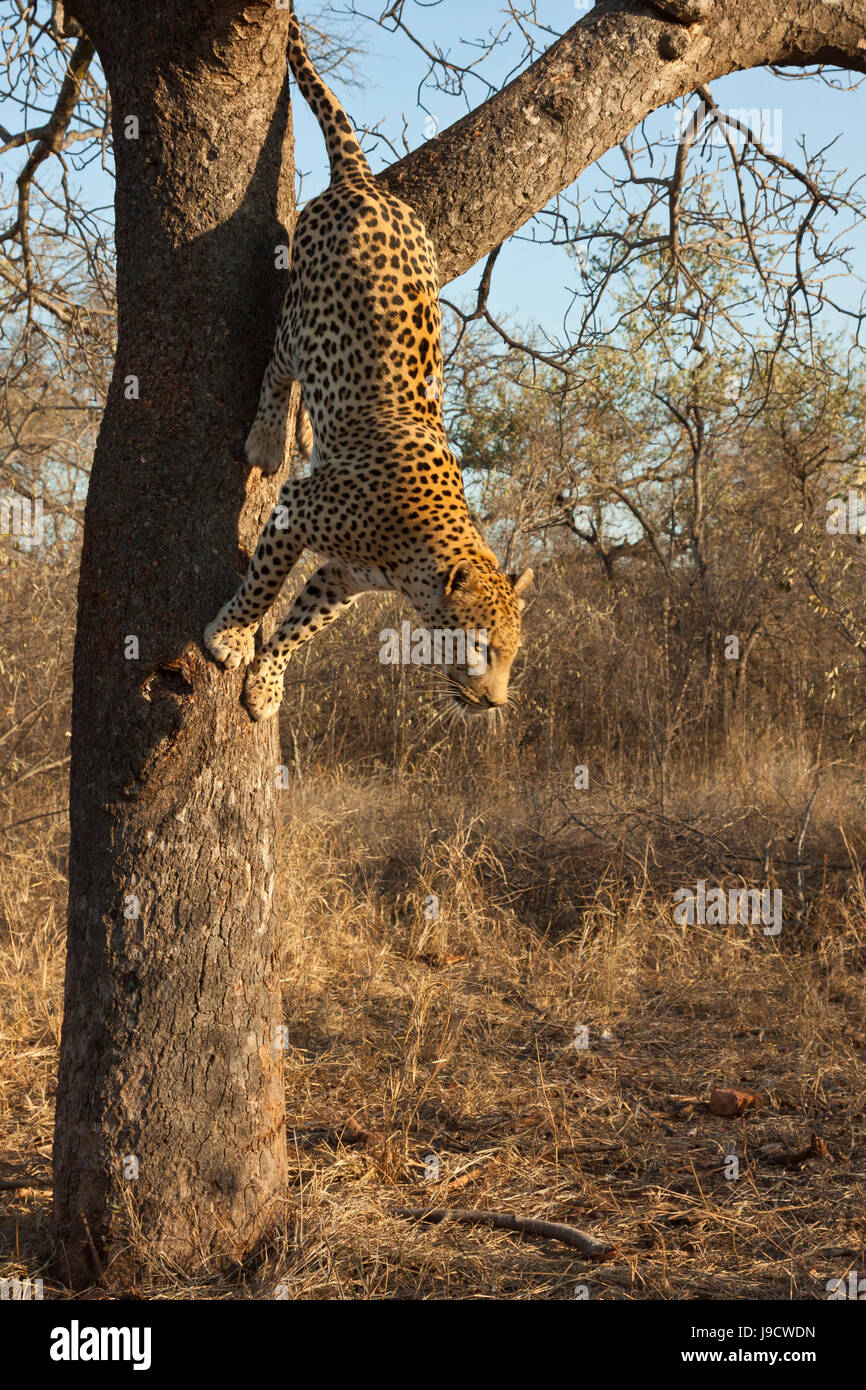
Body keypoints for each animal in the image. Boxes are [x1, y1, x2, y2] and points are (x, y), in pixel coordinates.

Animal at [203, 6, 532, 723]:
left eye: (514, 654)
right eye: (482, 647)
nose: (494, 703)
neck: (414, 561)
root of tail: (363, 180)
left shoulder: (341, 577)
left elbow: (300, 626)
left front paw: (267, 685)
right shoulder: (297, 508)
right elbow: (262, 586)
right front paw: (230, 638)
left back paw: (303, 435)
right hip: (301, 314)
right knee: (278, 371)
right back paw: (270, 439)